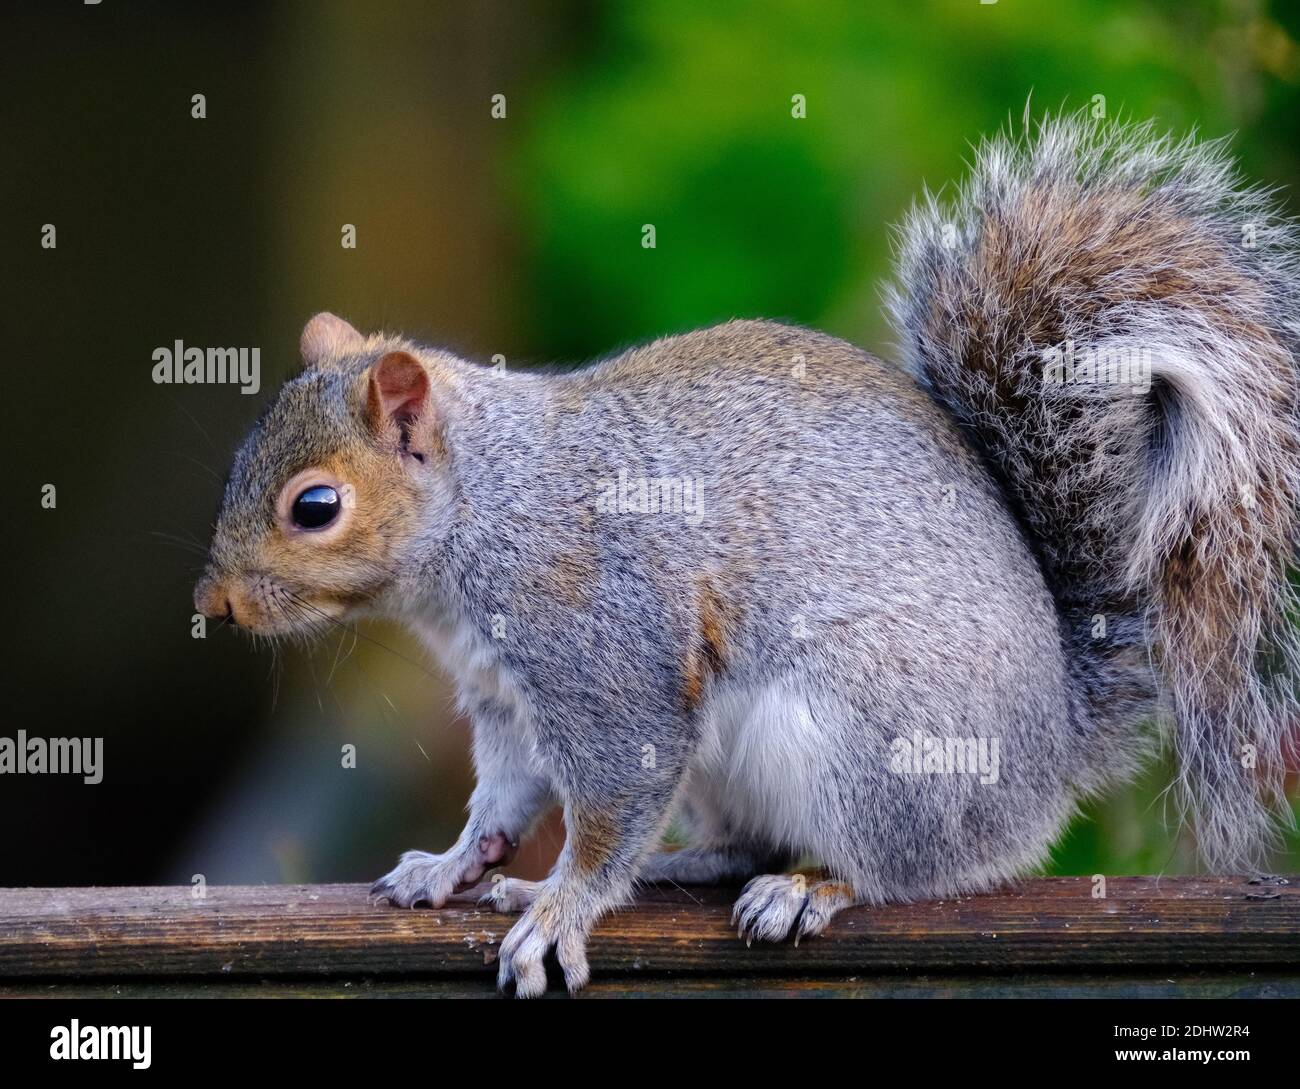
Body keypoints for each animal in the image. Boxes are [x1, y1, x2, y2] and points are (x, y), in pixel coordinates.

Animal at [196, 114, 1300, 996]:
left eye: (316, 506)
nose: (217, 607)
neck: (485, 511)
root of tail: (1054, 748)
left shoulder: (604, 651)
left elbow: (608, 800)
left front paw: (560, 909)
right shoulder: (504, 696)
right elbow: (502, 798)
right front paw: (452, 865)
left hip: (864, 737)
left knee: (910, 867)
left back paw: (811, 889)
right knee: (754, 838)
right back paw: (690, 864)